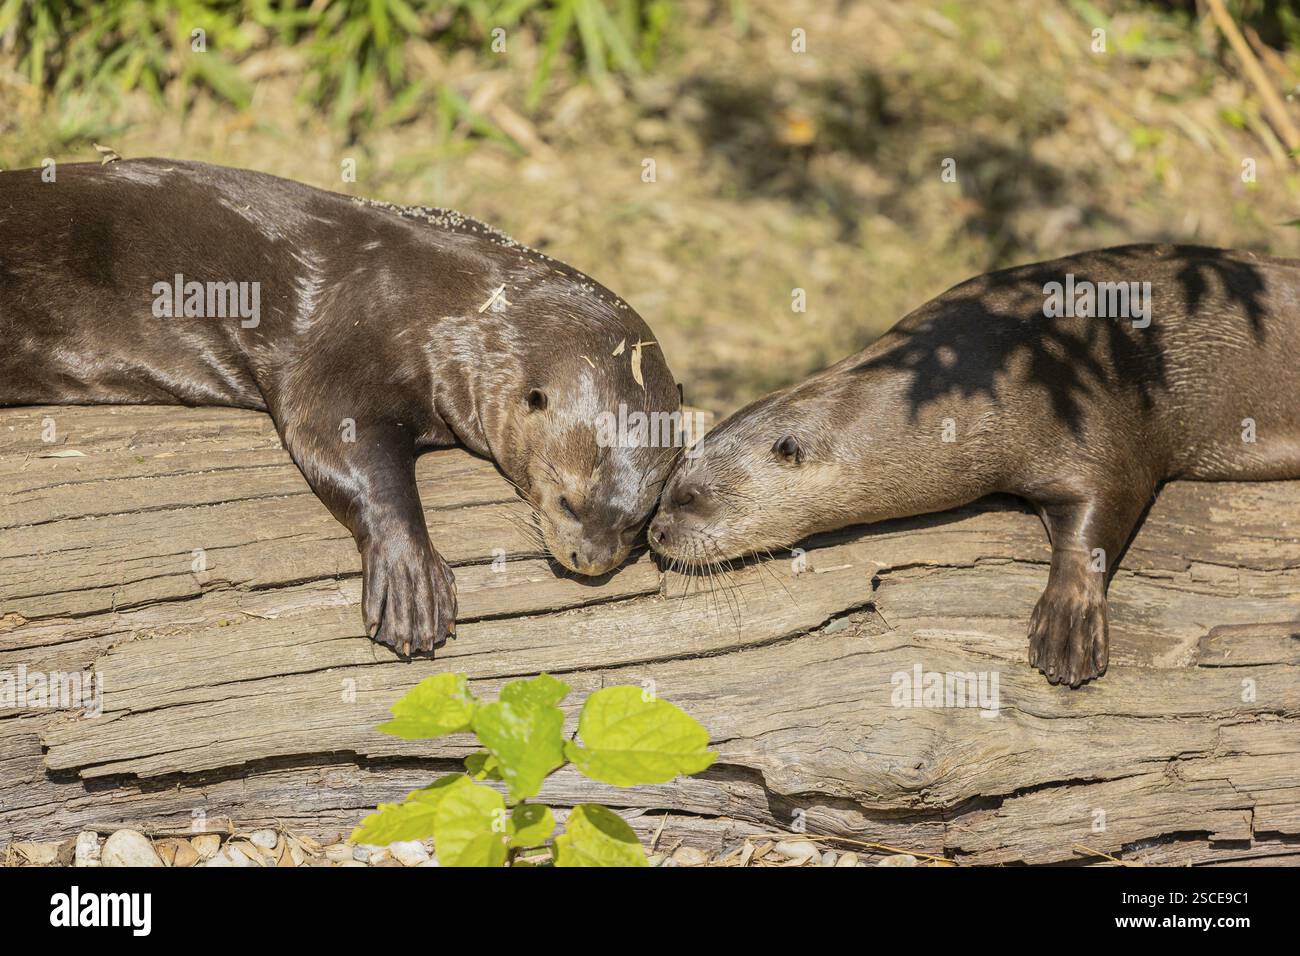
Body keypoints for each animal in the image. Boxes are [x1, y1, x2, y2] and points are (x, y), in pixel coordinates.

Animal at [1, 158, 679, 654]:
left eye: (635, 522)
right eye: (567, 502)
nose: (591, 560)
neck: (460, 311)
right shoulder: (345, 343)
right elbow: (337, 440)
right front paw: (410, 581)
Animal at [650, 245, 1300, 687]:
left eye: (692, 497)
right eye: (667, 490)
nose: (656, 534)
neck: (975, 377)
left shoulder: (1099, 415)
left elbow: (1103, 513)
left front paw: (1067, 625)